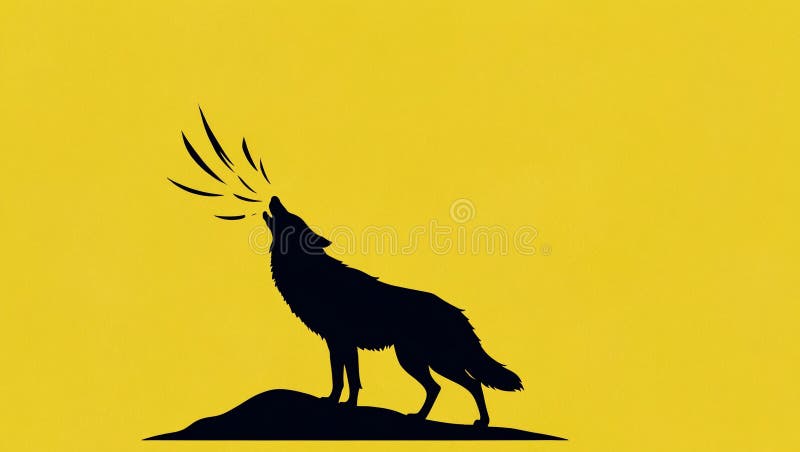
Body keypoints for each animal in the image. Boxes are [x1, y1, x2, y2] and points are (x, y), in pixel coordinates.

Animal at [263, 196, 522, 426]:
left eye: (289, 216)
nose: (275, 198)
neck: (309, 271)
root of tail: (458, 313)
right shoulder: (338, 344)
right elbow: (345, 379)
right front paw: (340, 403)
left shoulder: (342, 342)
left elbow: (347, 379)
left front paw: (343, 405)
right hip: (415, 360)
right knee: (438, 387)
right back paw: (420, 417)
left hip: (433, 363)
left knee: (470, 385)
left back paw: (481, 421)